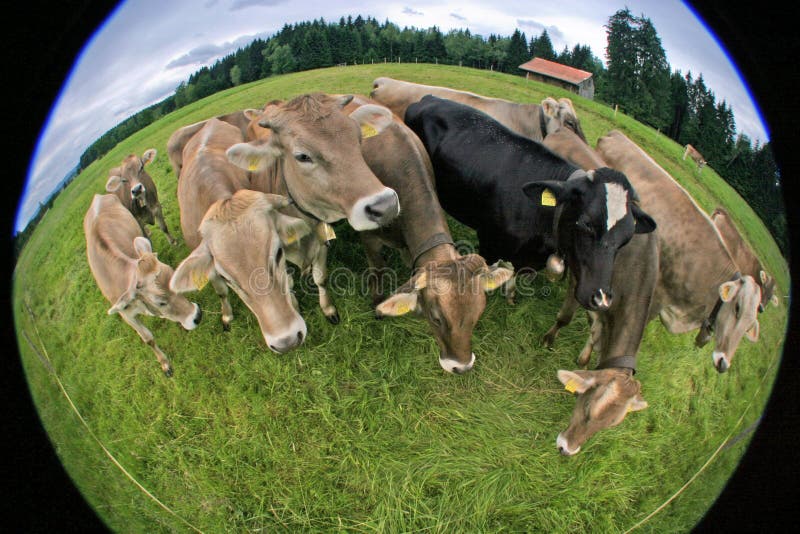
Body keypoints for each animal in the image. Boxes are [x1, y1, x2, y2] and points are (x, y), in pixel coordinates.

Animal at [84, 193, 202, 377]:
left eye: (173, 282)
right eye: (160, 302)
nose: (198, 316)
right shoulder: (126, 314)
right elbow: (148, 339)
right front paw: (165, 365)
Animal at [403, 95, 656, 317]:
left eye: (627, 237)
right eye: (586, 223)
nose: (601, 298)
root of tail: (429, 98)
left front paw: (510, 296)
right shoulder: (489, 242)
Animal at [541, 130, 762, 454]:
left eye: (749, 327)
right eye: (736, 309)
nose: (723, 364)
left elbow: (597, 337)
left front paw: (584, 359)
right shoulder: (595, 287)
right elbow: (567, 316)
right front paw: (551, 340)